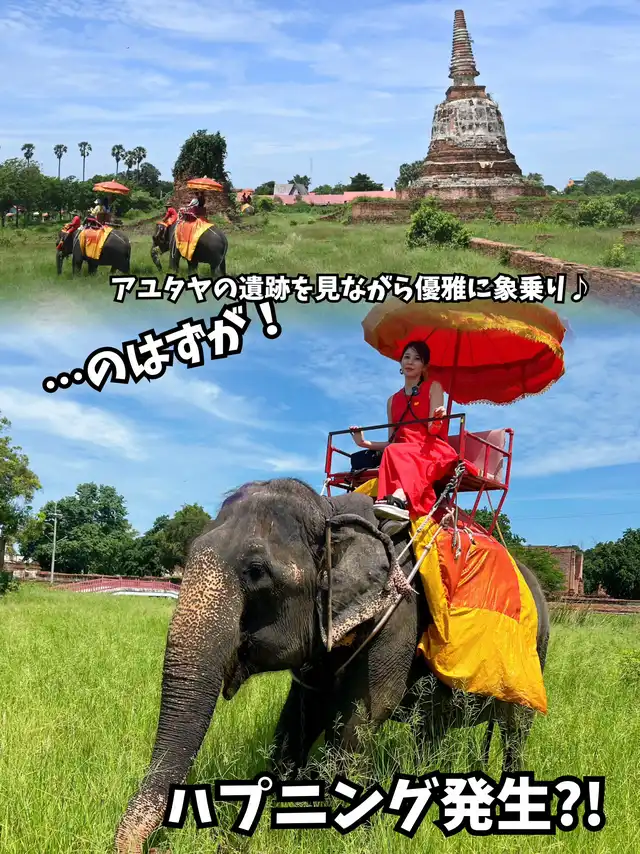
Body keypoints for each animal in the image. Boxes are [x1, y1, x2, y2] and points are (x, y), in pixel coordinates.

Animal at [114, 478, 549, 854]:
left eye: (257, 572)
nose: (147, 847)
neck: (332, 513)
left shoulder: (397, 612)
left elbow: (364, 714)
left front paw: (335, 833)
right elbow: (298, 715)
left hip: (535, 656)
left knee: (515, 729)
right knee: (432, 728)